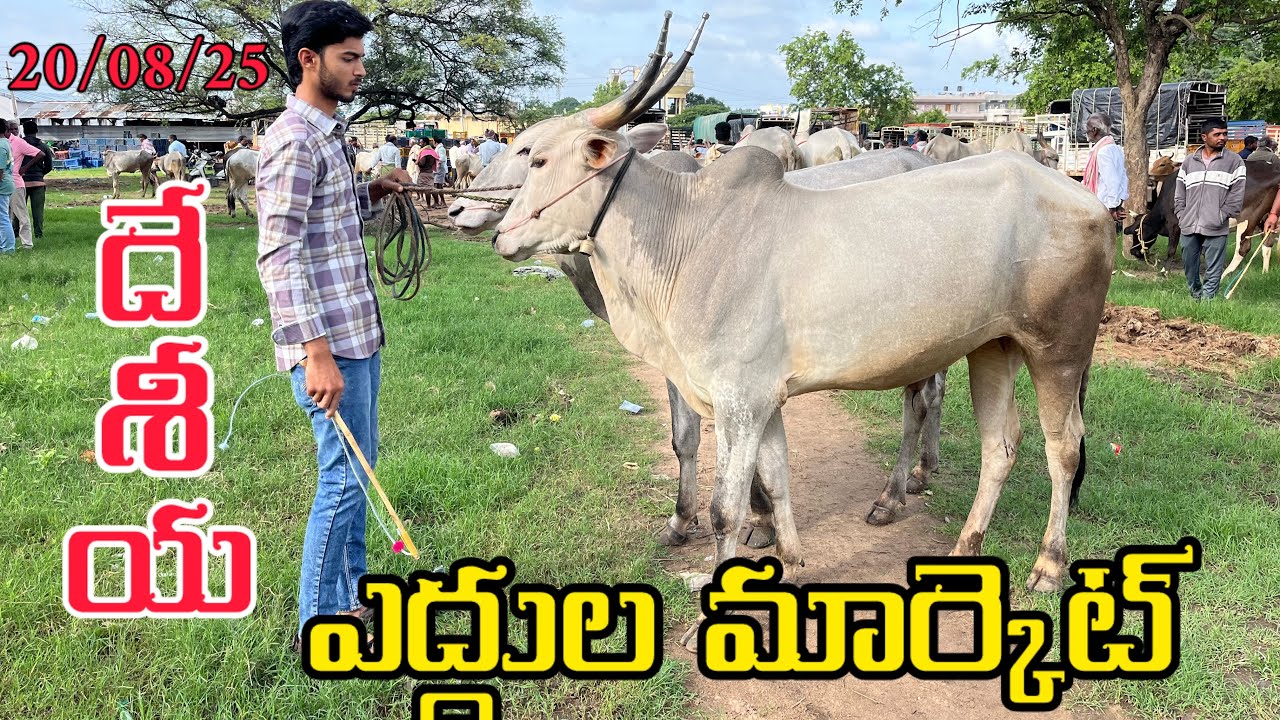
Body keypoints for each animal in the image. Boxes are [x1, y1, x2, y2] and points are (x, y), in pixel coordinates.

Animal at [491, 113, 1113, 644]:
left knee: (1063, 449)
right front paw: (790, 565)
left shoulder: (739, 399)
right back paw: (964, 548)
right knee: (999, 446)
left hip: (1058, 348)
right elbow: (776, 479)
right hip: (993, 347)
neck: (688, 237)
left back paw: (1047, 564)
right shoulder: (761, 399)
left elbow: (726, 509)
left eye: (535, 158)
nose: (500, 235)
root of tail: (1092, 205)